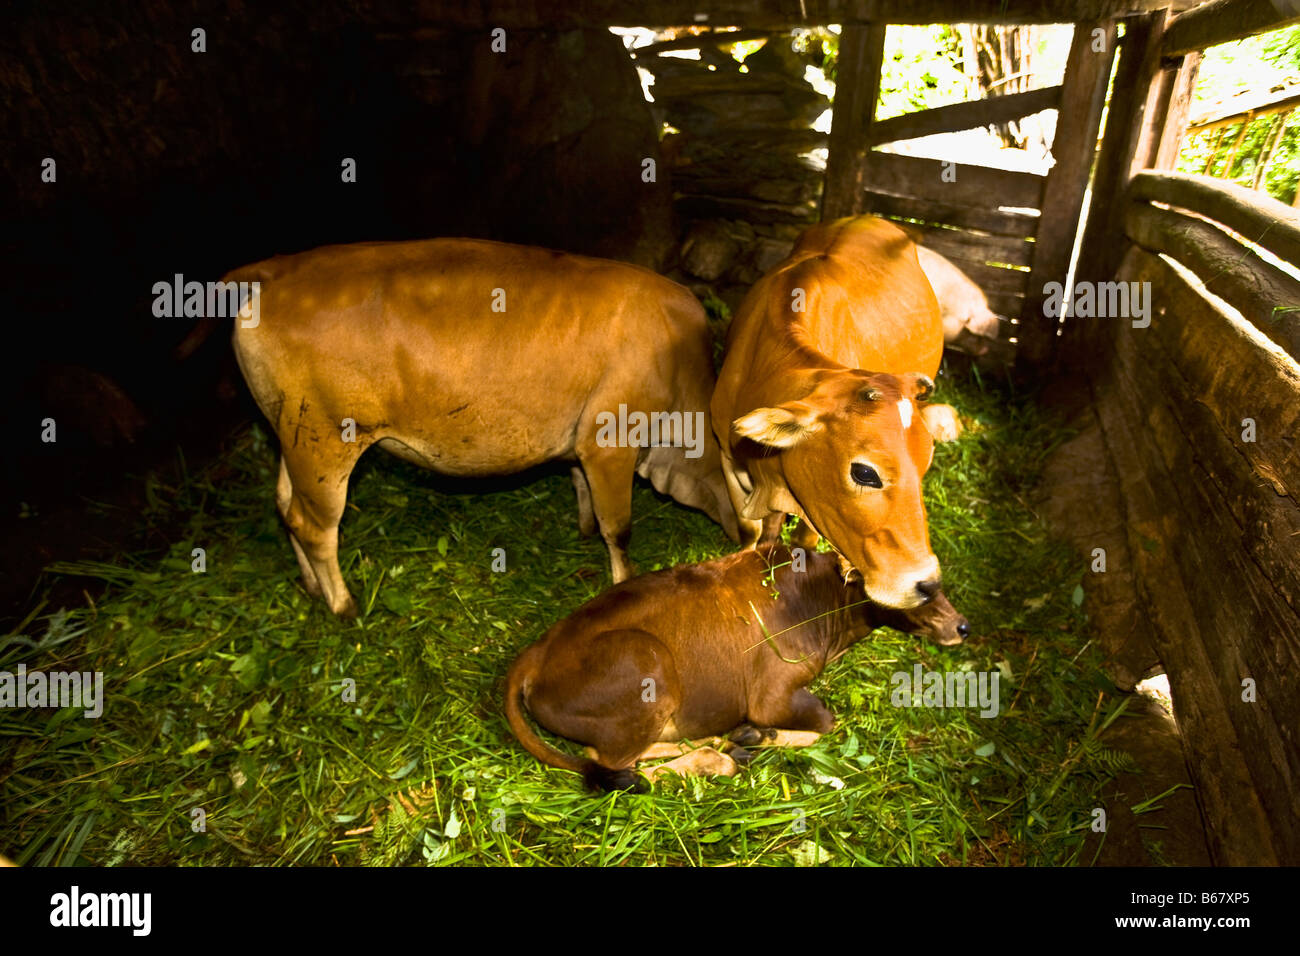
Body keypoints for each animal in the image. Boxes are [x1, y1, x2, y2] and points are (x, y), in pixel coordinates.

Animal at [230, 238, 739, 616]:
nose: (749, 541)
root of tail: (275, 270)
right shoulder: (608, 440)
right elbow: (619, 529)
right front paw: (622, 582)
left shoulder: (580, 441)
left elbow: (579, 484)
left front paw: (582, 527)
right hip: (327, 439)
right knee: (314, 524)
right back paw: (343, 605)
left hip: (291, 431)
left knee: (284, 503)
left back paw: (312, 586)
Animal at [504, 544, 970, 791]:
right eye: (922, 589)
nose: (962, 626)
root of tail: (535, 653)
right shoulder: (773, 694)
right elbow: (826, 721)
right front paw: (762, 734)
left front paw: (753, 736)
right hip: (647, 662)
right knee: (615, 765)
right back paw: (719, 756)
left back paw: (719, 742)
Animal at [710, 216, 961, 612]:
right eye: (864, 473)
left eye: (925, 465)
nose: (928, 584)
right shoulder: (724, 448)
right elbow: (748, 528)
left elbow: (804, 540)